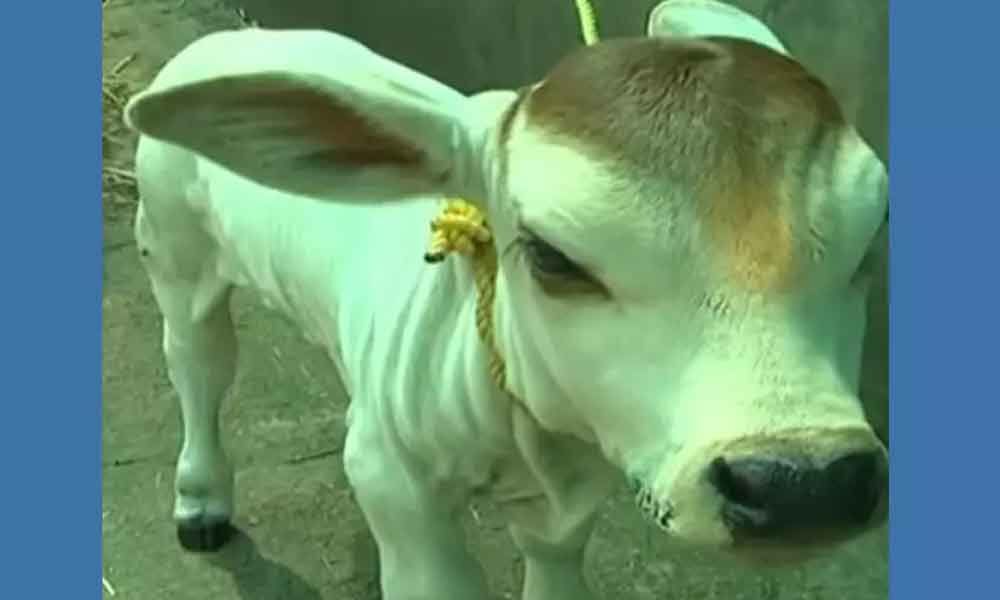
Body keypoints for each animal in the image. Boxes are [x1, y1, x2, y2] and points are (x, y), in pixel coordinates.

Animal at [122, 1, 889, 598]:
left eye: (872, 240)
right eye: (551, 256)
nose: (802, 484)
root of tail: (225, 43)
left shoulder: (574, 491)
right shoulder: (389, 474)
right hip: (174, 254)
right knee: (199, 367)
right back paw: (201, 501)